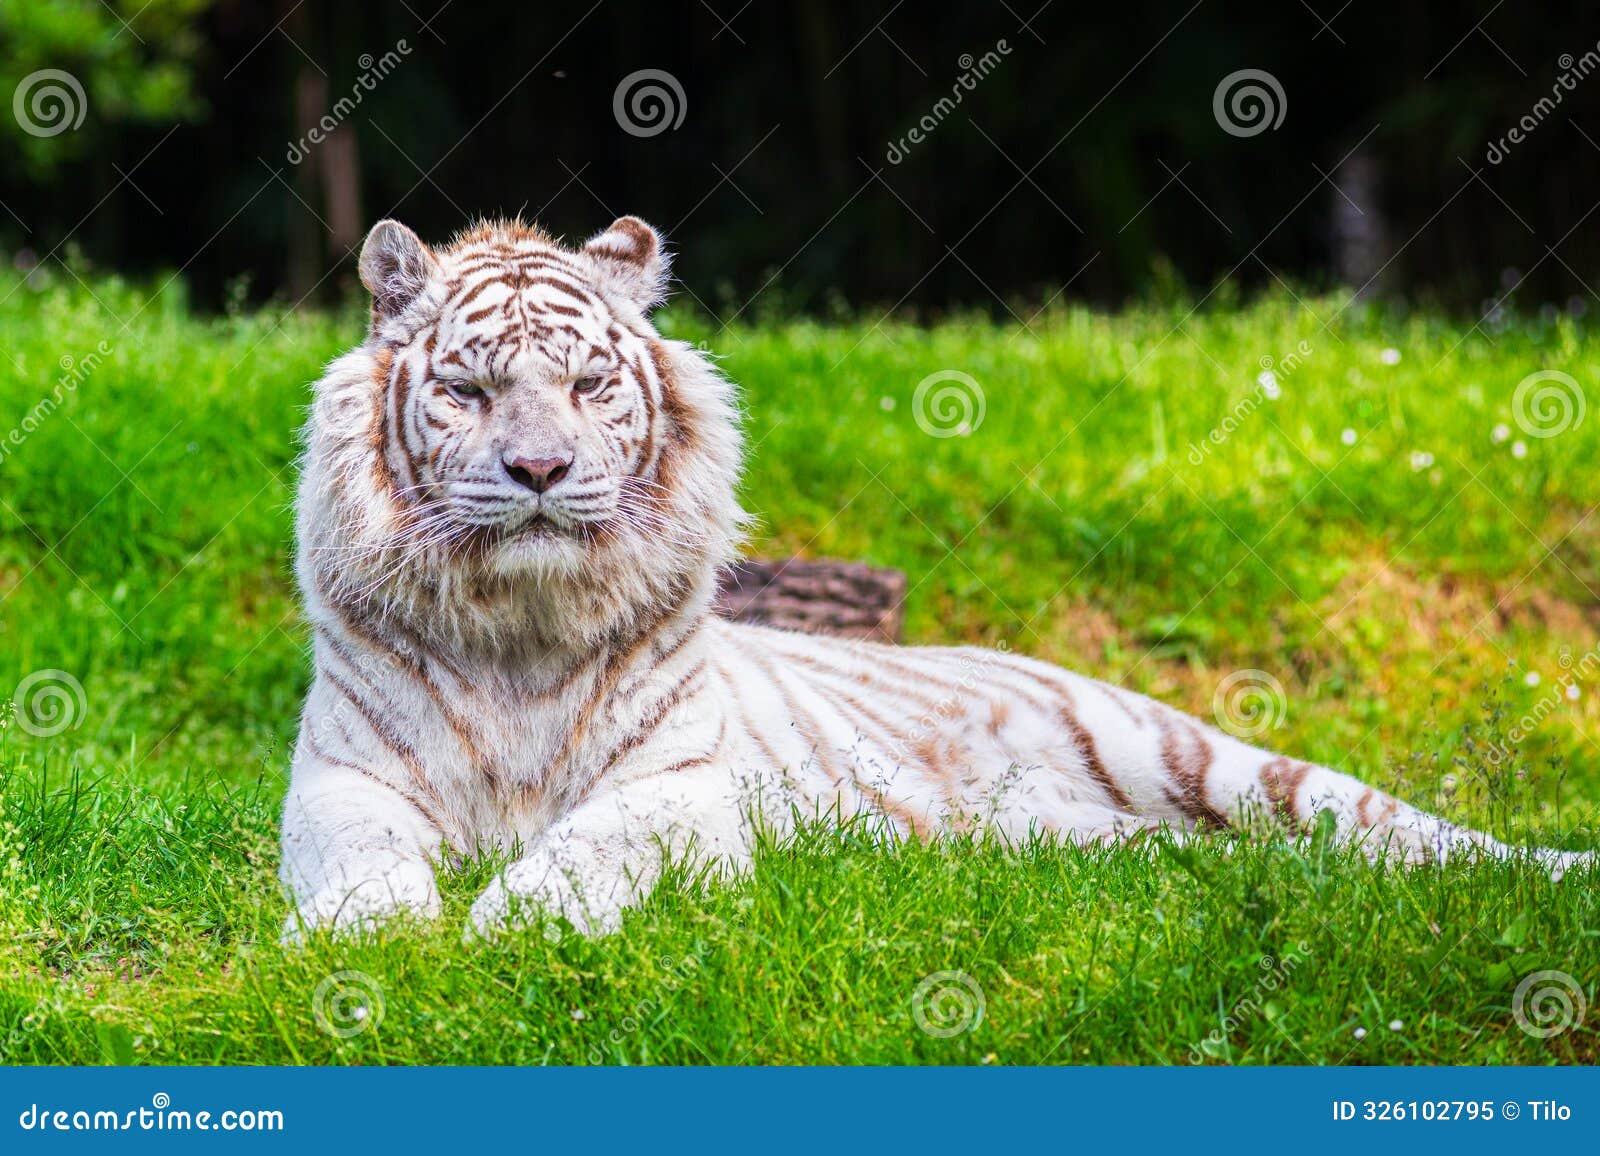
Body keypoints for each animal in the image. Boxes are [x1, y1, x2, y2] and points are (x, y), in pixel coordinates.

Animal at [280, 214, 1591, 939]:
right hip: (1082, 839)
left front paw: (512, 924)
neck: (522, 627)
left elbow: (592, 848)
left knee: (1406, 835)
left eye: (590, 383)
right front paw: (371, 940)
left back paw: (1553, 879)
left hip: (1198, 756)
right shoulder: (343, 779)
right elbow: (361, 865)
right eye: (467, 389)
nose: (541, 467)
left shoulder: (681, 790)